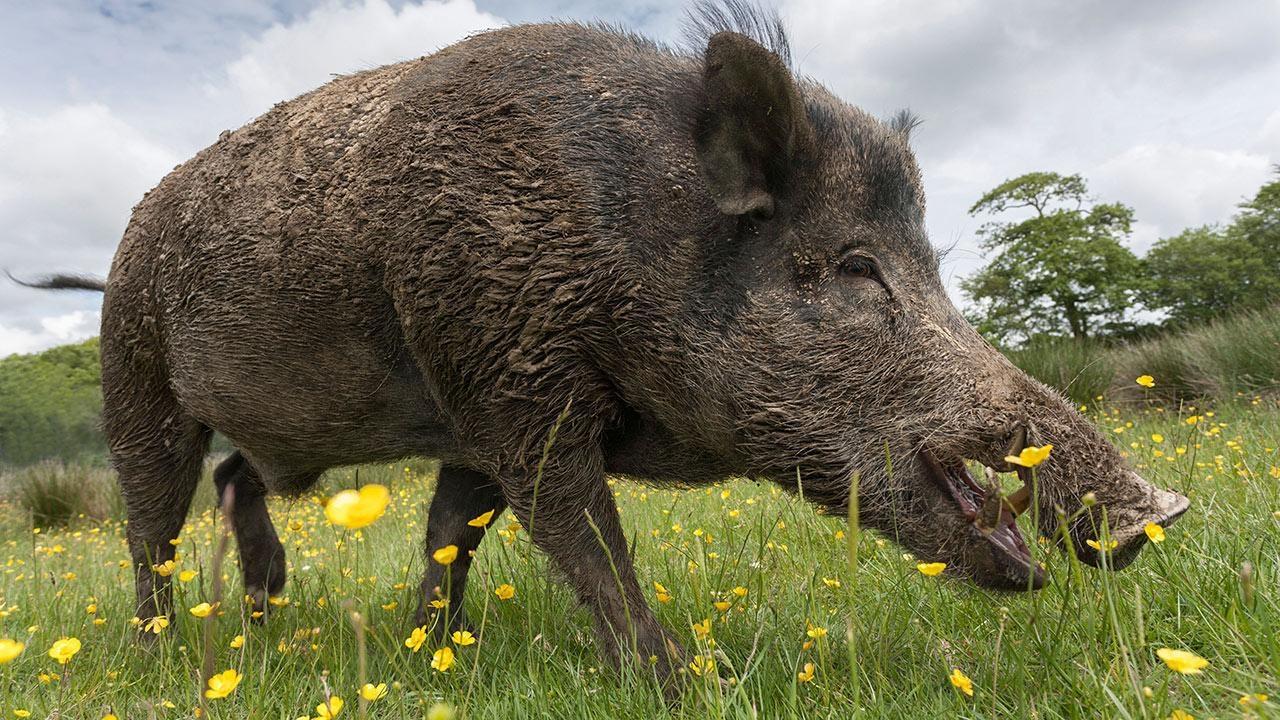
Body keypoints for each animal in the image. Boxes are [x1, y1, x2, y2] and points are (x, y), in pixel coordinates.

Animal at [21, 0, 1186, 692]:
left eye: (932, 263)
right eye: (855, 267)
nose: (1159, 509)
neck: (631, 245)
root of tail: (125, 248)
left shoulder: (471, 412)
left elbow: (452, 533)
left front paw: (434, 655)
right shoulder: (506, 380)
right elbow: (582, 535)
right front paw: (686, 684)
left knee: (237, 478)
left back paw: (265, 613)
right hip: (133, 371)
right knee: (149, 519)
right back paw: (160, 657)